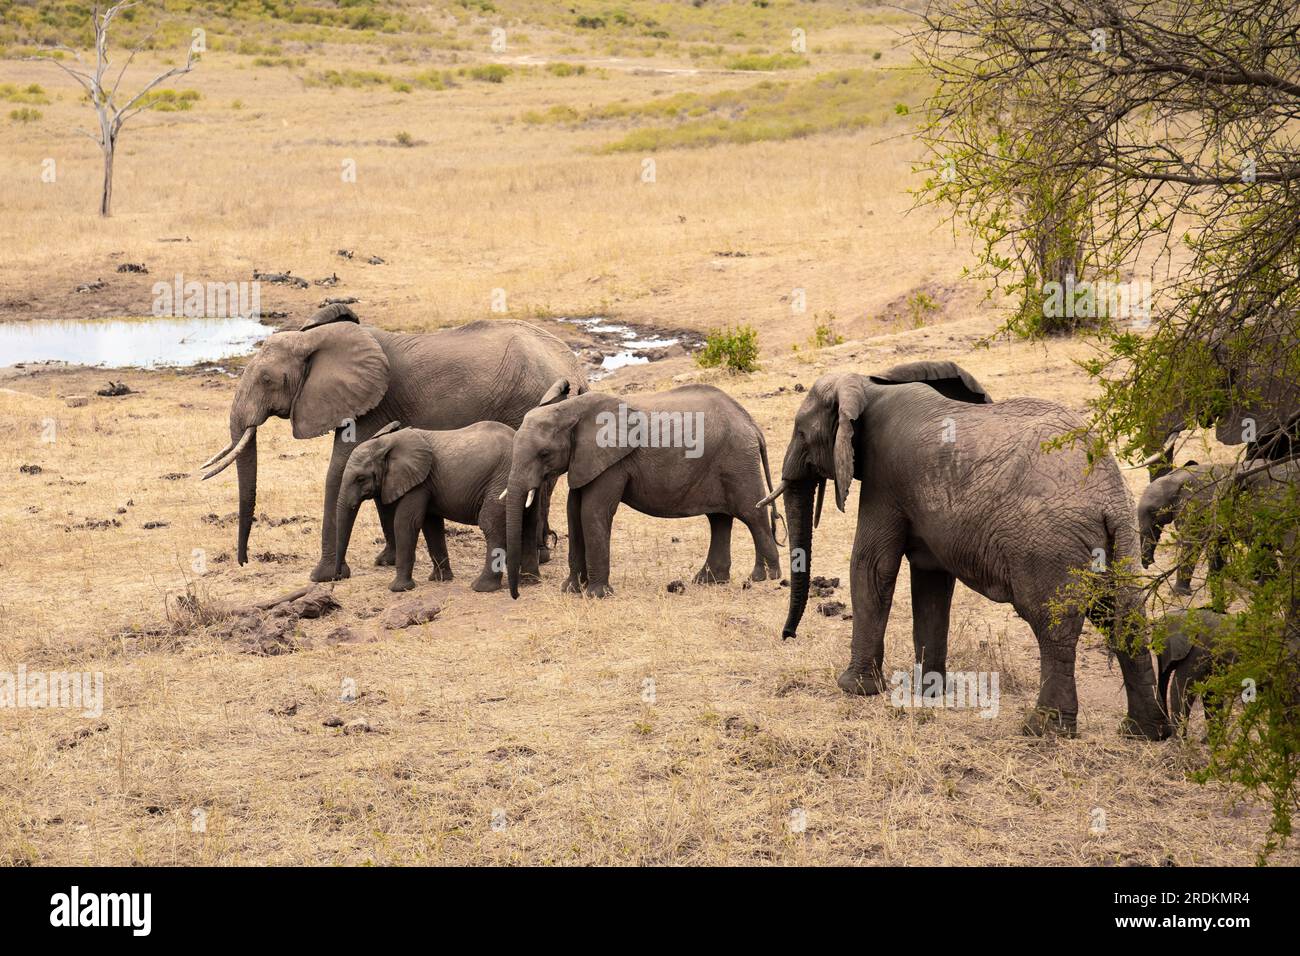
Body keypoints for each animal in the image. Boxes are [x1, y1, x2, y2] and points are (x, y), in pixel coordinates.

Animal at [333, 421, 529, 593]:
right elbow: (431, 525)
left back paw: (481, 588)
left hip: (501, 478)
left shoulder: (418, 482)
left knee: (491, 524)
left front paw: (398, 589)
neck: (387, 442)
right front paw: (440, 579)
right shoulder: (428, 483)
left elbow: (406, 523)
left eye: (360, 479)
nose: (338, 576)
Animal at [503, 385, 782, 599]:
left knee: (752, 513)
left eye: (544, 454)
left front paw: (597, 595)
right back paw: (709, 581)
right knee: (719, 519)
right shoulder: (583, 461)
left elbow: (593, 513)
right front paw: (570, 590)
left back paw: (765, 577)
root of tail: (751, 423)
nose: (516, 594)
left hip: (738, 460)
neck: (572, 409)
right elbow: (574, 513)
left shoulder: (612, 462)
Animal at [768, 359, 1168, 740]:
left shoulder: (884, 479)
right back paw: (1145, 732)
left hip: (1048, 545)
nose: (788, 637)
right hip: (1116, 542)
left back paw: (1042, 730)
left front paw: (854, 688)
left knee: (1054, 626)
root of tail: (1108, 492)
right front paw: (929, 692)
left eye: (801, 433)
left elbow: (872, 565)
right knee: (1123, 615)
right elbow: (931, 581)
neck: (871, 385)